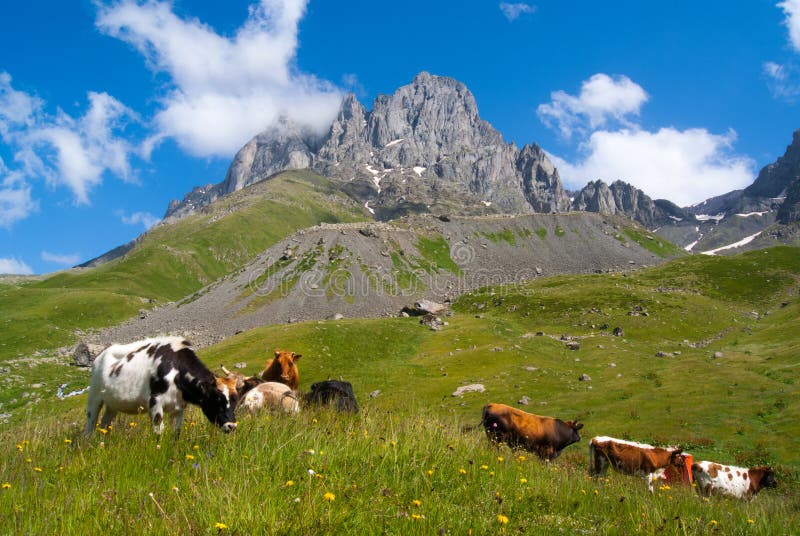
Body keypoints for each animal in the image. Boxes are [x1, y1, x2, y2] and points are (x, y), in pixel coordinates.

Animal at [84, 337, 238, 436]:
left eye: (235, 400)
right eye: (216, 399)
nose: (232, 426)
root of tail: (100, 355)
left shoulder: (179, 408)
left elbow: (176, 433)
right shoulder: (155, 402)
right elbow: (159, 432)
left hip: (112, 405)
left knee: (104, 425)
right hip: (94, 398)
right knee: (90, 425)